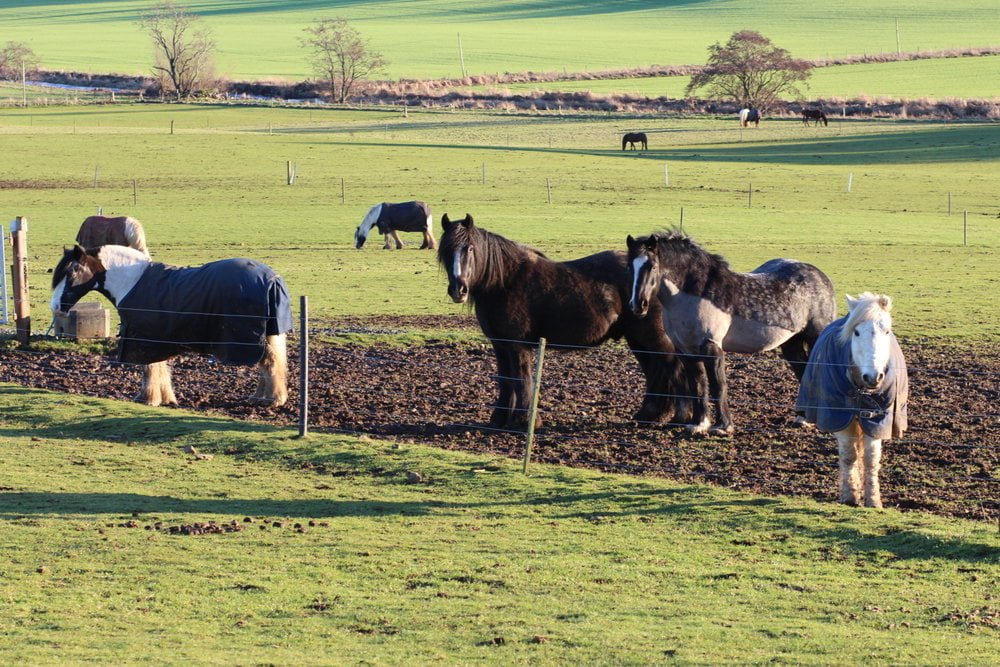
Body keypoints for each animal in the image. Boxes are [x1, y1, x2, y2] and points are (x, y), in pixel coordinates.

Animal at [51, 245, 292, 408]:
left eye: (72, 271)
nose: (55, 307)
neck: (131, 281)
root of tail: (272, 279)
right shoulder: (156, 340)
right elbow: (159, 367)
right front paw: (165, 397)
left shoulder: (145, 338)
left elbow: (149, 369)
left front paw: (148, 398)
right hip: (266, 334)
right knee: (269, 363)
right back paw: (260, 397)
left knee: (269, 363)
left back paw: (274, 399)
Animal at [438, 214, 697, 430]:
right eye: (446, 251)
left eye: (470, 248)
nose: (458, 290)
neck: (504, 282)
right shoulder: (500, 345)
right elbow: (505, 380)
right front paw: (499, 419)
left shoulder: (518, 346)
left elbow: (522, 380)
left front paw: (524, 422)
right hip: (637, 339)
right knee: (656, 370)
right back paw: (650, 414)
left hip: (653, 336)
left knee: (673, 366)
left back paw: (678, 417)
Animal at [627, 231, 836, 436]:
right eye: (630, 267)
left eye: (653, 266)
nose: (638, 305)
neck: (695, 294)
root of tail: (821, 277)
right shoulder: (686, 351)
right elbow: (698, 386)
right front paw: (699, 424)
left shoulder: (711, 346)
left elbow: (718, 386)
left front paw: (723, 426)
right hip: (792, 343)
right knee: (803, 371)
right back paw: (803, 419)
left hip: (816, 336)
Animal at [796, 293, 908, 508]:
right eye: (856, 332)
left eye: (887, 331)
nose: (873, 377)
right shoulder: (840, 417)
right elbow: (849, 456)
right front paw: (850, 496)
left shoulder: (876, 421)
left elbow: (870, 460)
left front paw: (873, 501)